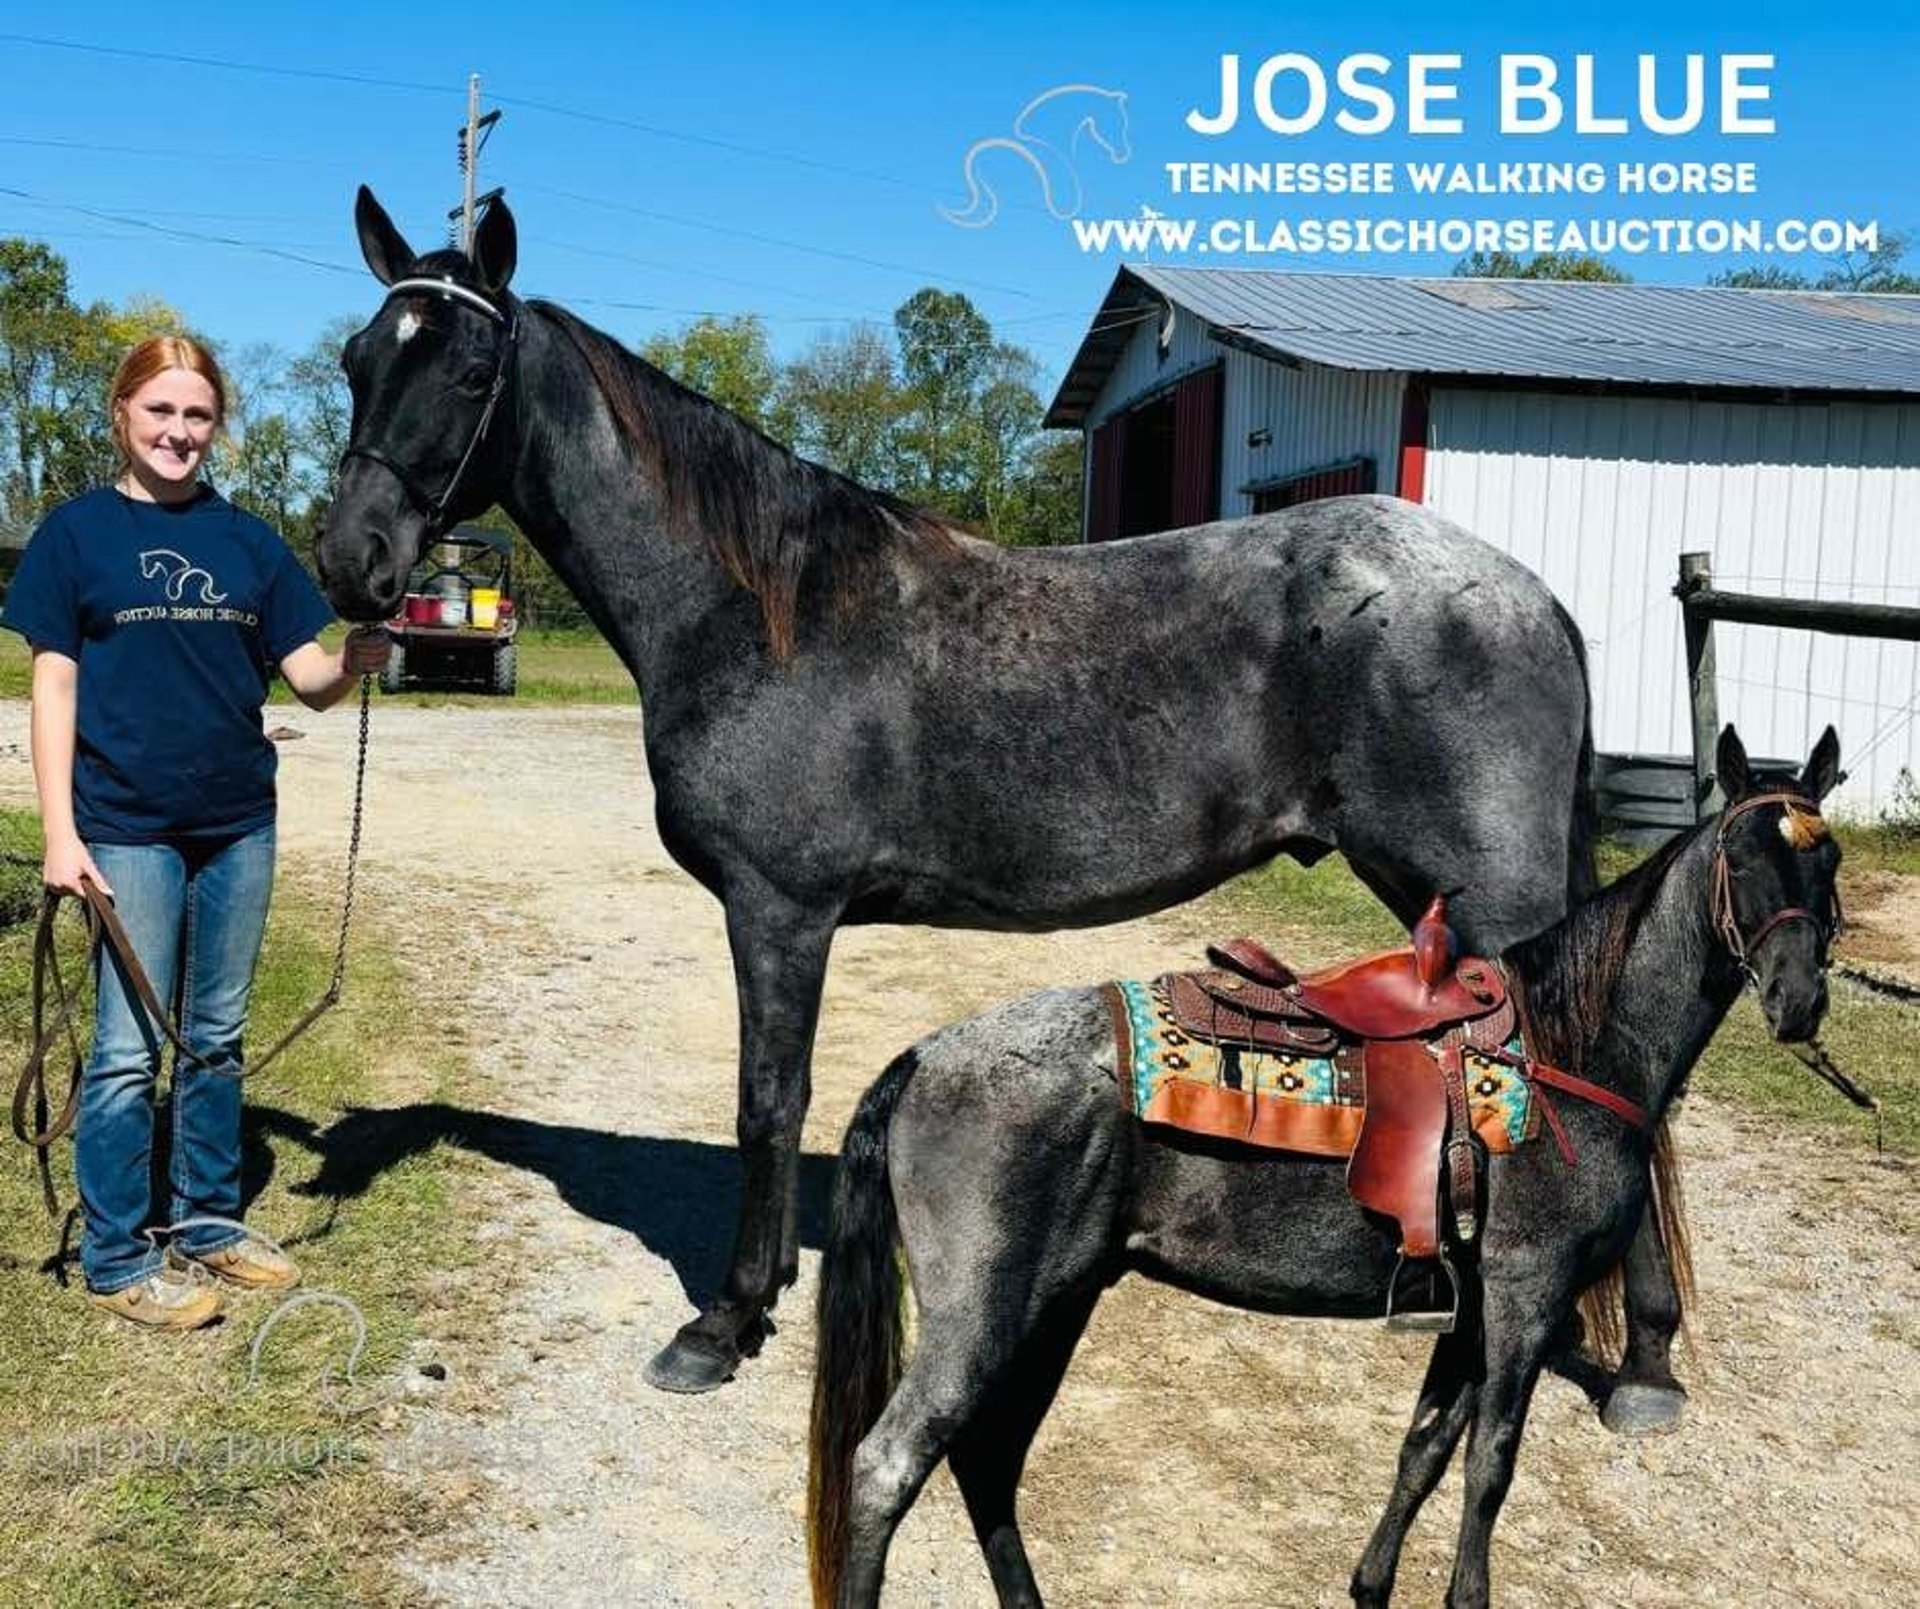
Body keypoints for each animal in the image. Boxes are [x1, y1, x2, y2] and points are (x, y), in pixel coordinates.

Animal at [315, 188, 1684, 1407]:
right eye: (355, 359)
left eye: (470, 368)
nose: (351, 561)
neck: (756, 609)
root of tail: (1527, 590)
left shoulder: (779, 910)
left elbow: (768, 1100)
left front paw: (726, 1320)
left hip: (1489, 898)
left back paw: (1638, 1362)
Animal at [808, 725, 1842, 1607]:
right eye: (1742, 857)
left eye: (1825, 860)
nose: (1797, 1000)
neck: (1570, 1053)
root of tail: (924, 1057)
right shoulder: (1527, 1297)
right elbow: (1491, 1466)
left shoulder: (1471, 1310)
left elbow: (1425, 1449)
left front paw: (1371, 1583)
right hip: (982, 1315)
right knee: (888, 1467)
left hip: (1055, 1302)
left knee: (989, 1461)